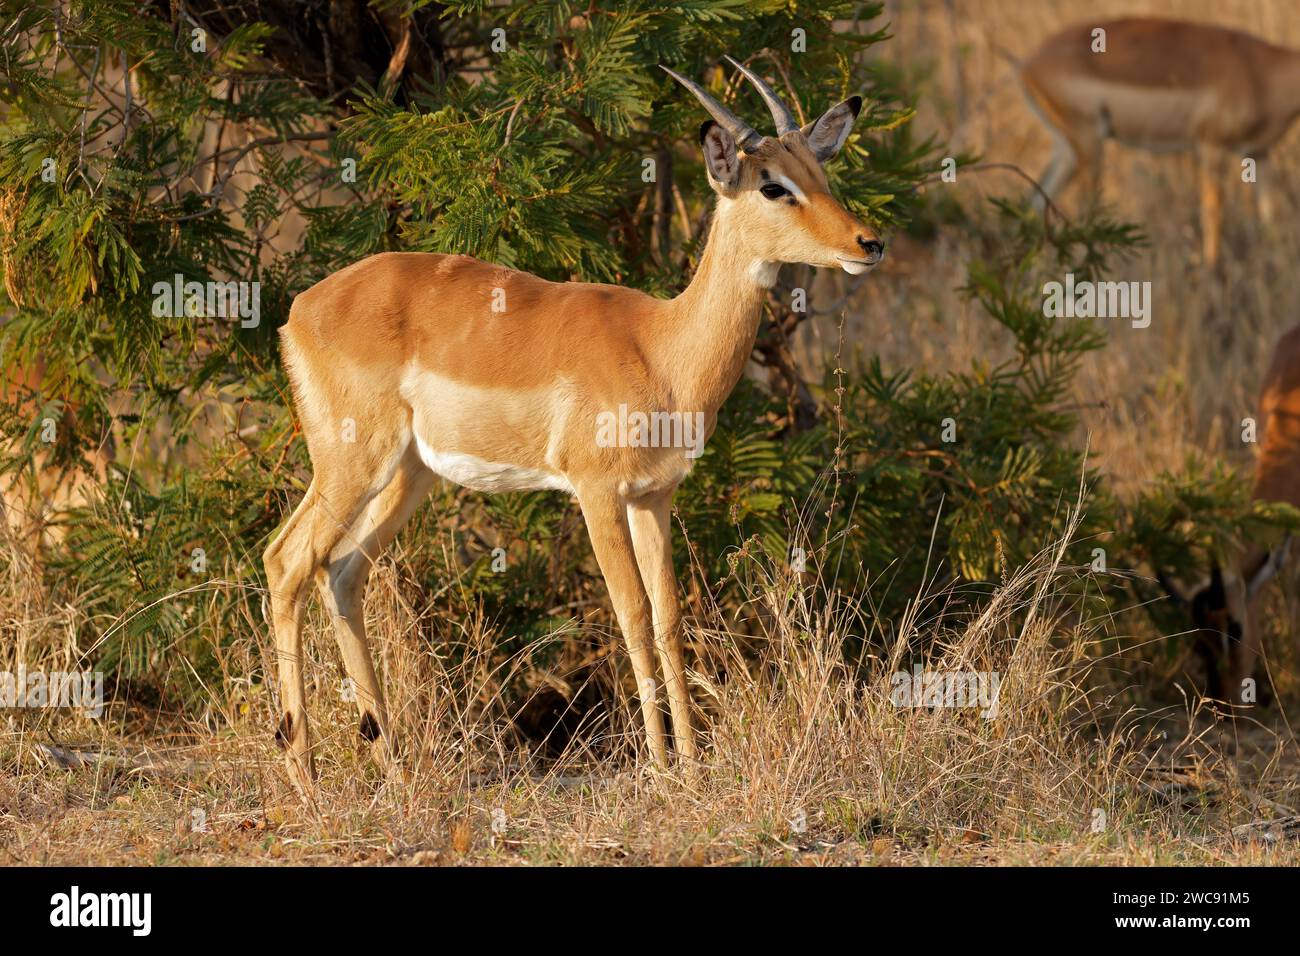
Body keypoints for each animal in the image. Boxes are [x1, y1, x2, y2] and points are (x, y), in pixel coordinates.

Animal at [262, 57, 884, 789]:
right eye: (772, 185)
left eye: (820, 173)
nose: (868, 242)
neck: (662, 349)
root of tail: (299, 310)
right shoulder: (595, 493)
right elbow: (632, 614)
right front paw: (662, 771)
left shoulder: (654, 497)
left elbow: (669, 617)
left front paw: (692, 764)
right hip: (353, 462)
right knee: (286, 560)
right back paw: (303, 776)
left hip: (410, 474)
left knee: (342, 570)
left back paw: (392, 764)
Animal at [1018, 17, 1300, 265]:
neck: (1259, 70)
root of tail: (1028, 63)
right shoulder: (1211, 147)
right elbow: (1213, 217)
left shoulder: (1259, 153)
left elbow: (1270, 218)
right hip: (1089, 145)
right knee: (1085, 214)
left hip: (1066, 152)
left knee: (1033, 203)